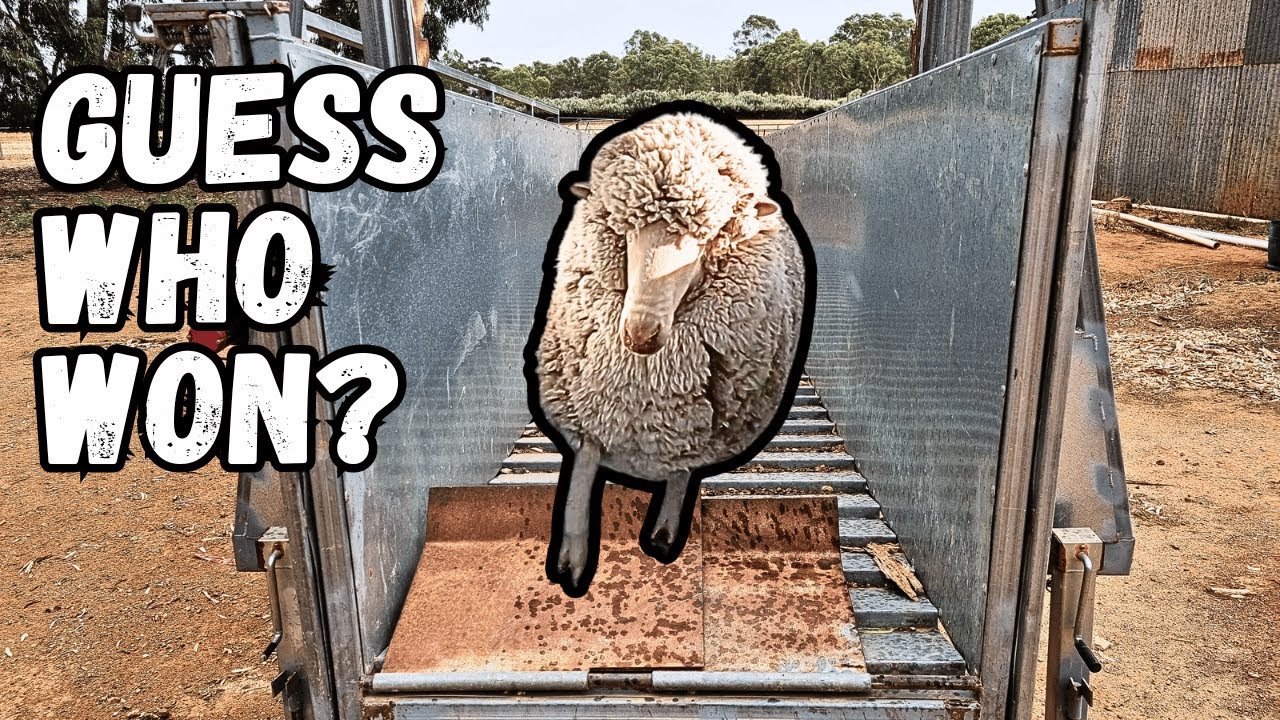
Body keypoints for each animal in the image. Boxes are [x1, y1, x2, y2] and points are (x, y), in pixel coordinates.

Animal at [528, 107, 811, 594]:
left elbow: (682, 474)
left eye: (709, 234)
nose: (641, 334)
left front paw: (663, 536)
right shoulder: (588, 412)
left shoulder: (692, 432)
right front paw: (572, 564)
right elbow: (582, 474)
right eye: (627, 229)